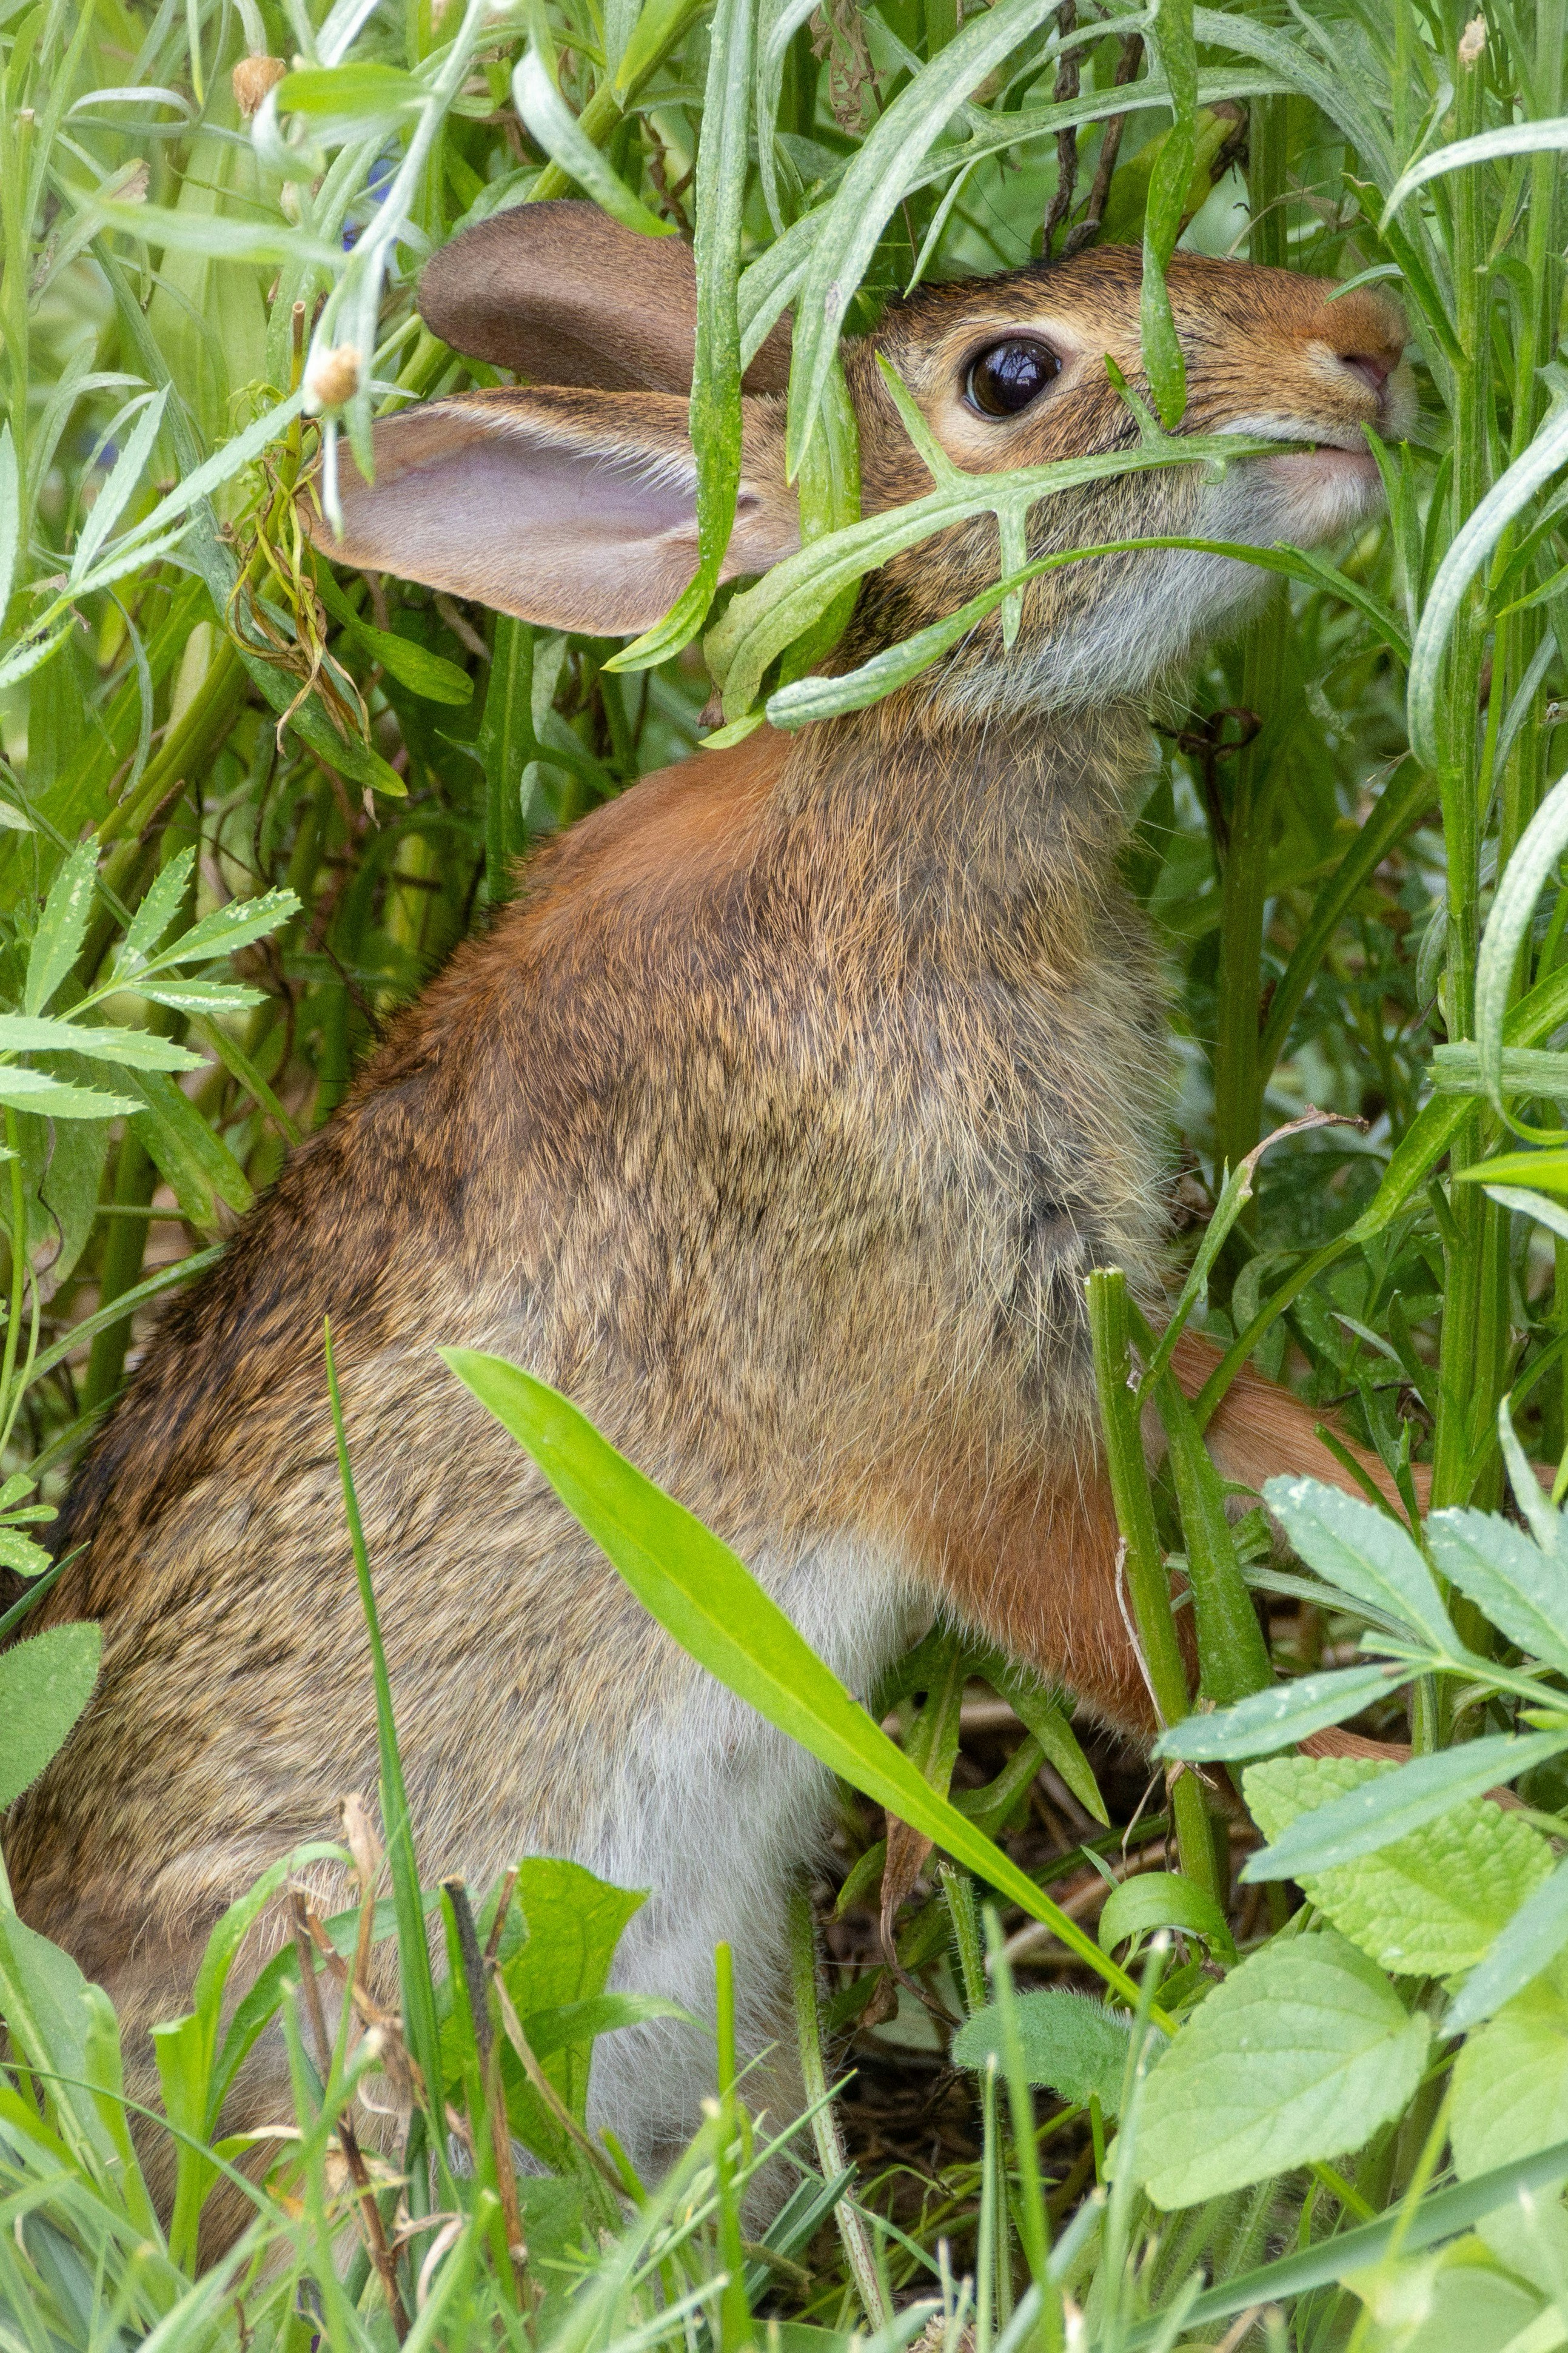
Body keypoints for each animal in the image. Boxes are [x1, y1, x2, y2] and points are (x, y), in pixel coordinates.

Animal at [5, 202, 1413, 2241]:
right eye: (1009, 375)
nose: (1364, 344)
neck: (906, 783)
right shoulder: (952, 1394)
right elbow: (1167, 1668)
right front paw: (1457, 1785)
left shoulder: (1093, 1303)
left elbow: (1273, 1443)